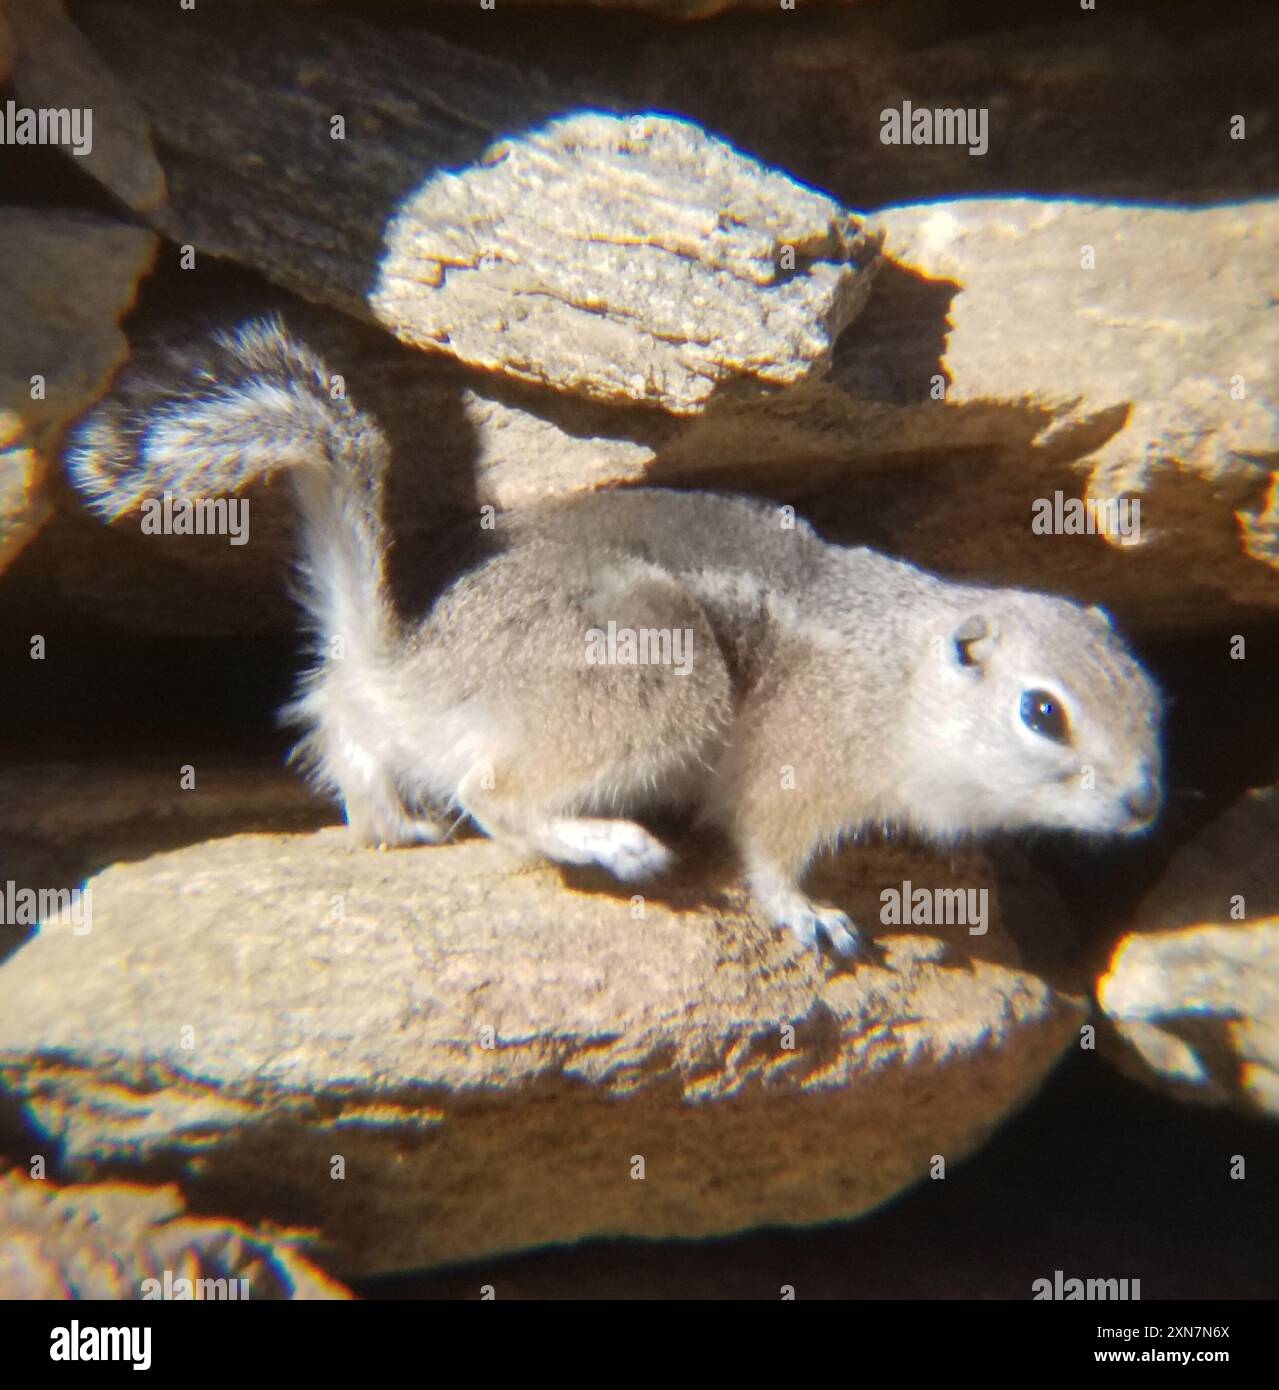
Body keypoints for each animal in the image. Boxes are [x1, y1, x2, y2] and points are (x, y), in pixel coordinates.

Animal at [67, 316, 1164, 957]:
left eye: (1153, 700)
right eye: (1042, 712)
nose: (1143, 803)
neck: (903, 683)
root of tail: (414, 668)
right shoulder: (800, 764)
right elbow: (767, 847)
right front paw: (806, 912)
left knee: (342, 720)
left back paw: (387, 818)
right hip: (660, 673)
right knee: (495, 794)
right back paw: (613, 842)